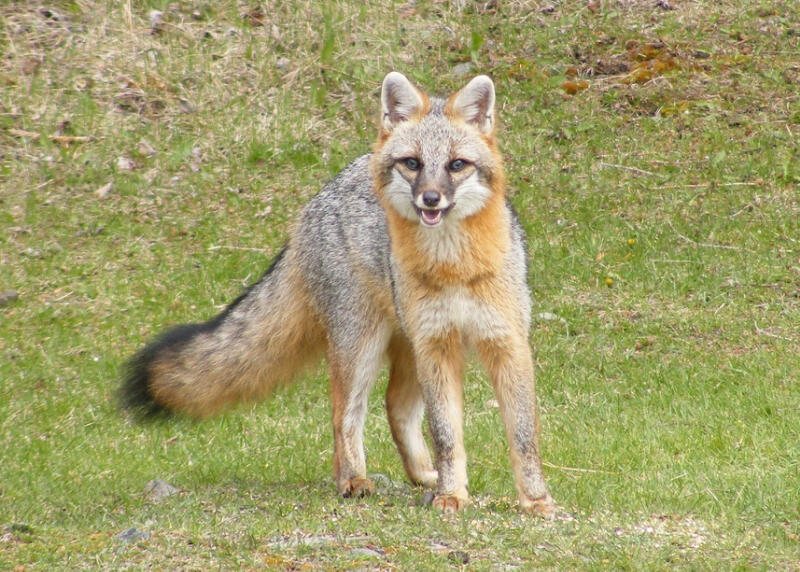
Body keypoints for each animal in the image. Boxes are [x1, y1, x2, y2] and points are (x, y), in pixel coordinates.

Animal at [122, 72, 555, 516]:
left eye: (456, 165)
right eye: (413, 163)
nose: (430, 198)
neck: (454, 268)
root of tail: (318, 198)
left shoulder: (505, 343)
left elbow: (523, 436)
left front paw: (536, 500)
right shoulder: (437, 346)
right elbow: (446, 434)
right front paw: (453, 495)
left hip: (407, 348)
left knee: (395, 407)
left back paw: (422, 476)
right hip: (363, 346)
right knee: (345, 414)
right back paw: (354, 479)